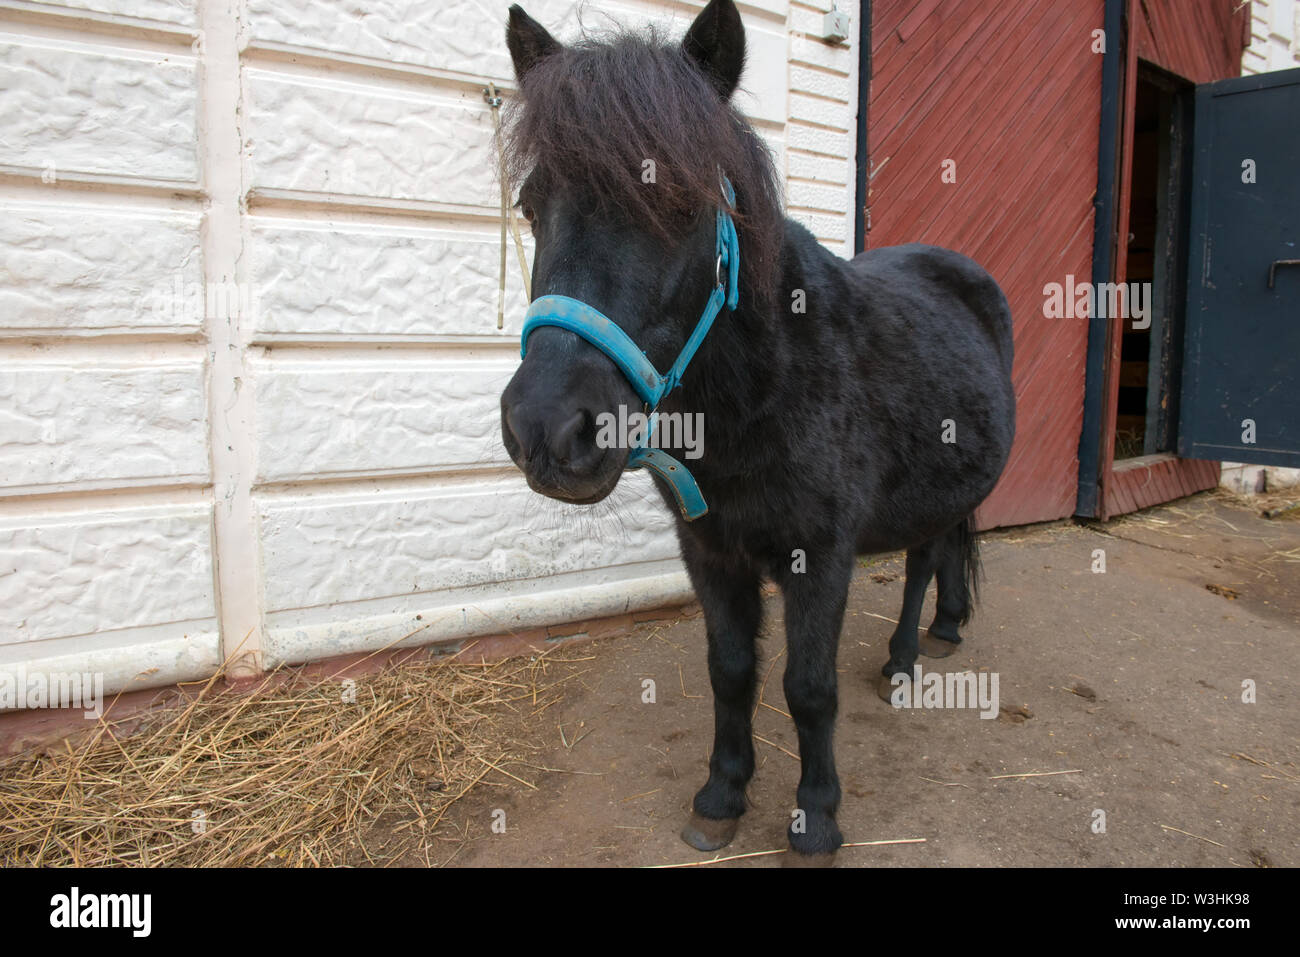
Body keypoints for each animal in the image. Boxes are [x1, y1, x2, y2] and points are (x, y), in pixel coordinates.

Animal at [498, 0, 1016, 865]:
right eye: (532, 206)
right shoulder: (710, 552)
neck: (764, 391)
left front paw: (817, 815)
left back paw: (911, 653)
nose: (547, 428)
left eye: (682, 204)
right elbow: (732, 670)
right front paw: (721, 795)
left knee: (922, 560)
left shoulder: (823, 556)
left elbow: (807, 689)